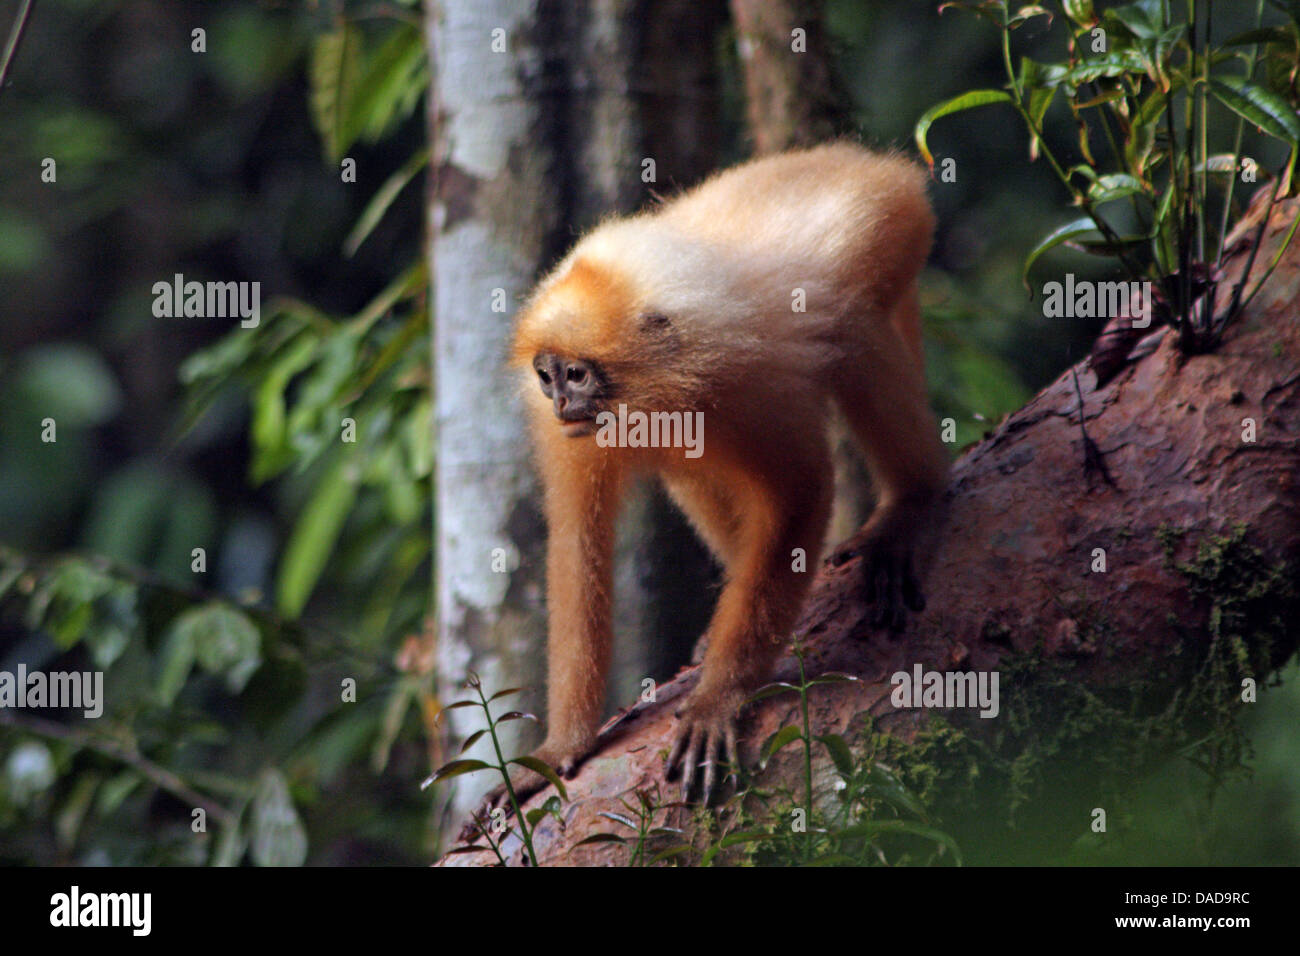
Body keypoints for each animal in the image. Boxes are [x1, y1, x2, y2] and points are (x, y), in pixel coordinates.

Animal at [475, 142, 949, 822]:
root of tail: (862, 162)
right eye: (547, 375)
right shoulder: (572, 435)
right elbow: (575, 546)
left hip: (894, 227)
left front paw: (717, 699)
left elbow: (801, 491)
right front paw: (561, 746)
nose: (562, 402)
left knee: (854, 326)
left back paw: (914, 500)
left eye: (577, 374)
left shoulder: (748, 375)